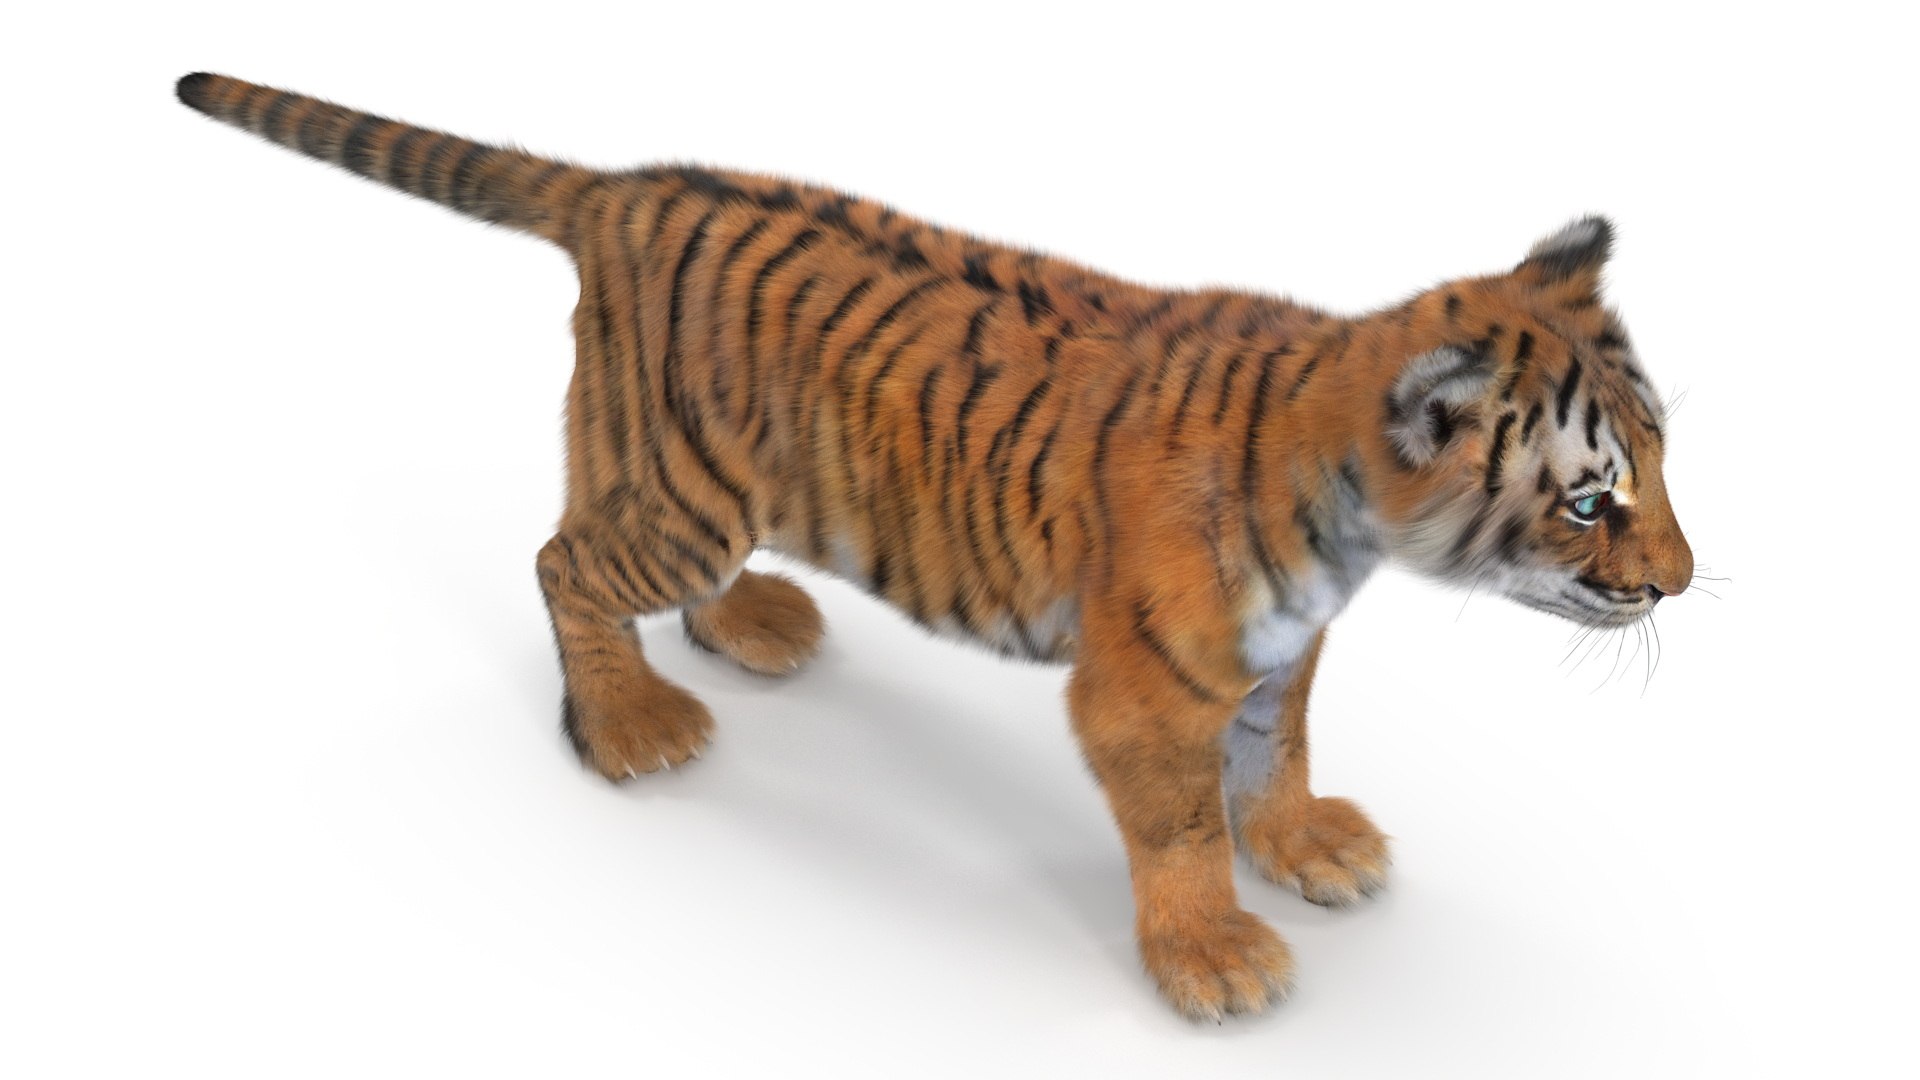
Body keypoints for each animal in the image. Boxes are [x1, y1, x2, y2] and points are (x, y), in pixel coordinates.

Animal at [175, 72, 1695, 1022]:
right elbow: (1182, 825)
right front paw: (1212, 954)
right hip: (687, 497)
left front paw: (1309, 842)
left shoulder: (1281, 649)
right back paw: (627, 729)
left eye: (1663, 451)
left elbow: (1276, 756)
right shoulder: (1141, 691)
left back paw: (750, 629)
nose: (1680, 584)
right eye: (1590, 501)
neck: (1354, 515)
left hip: (684, 464)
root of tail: (623, 187)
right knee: (562, 564)